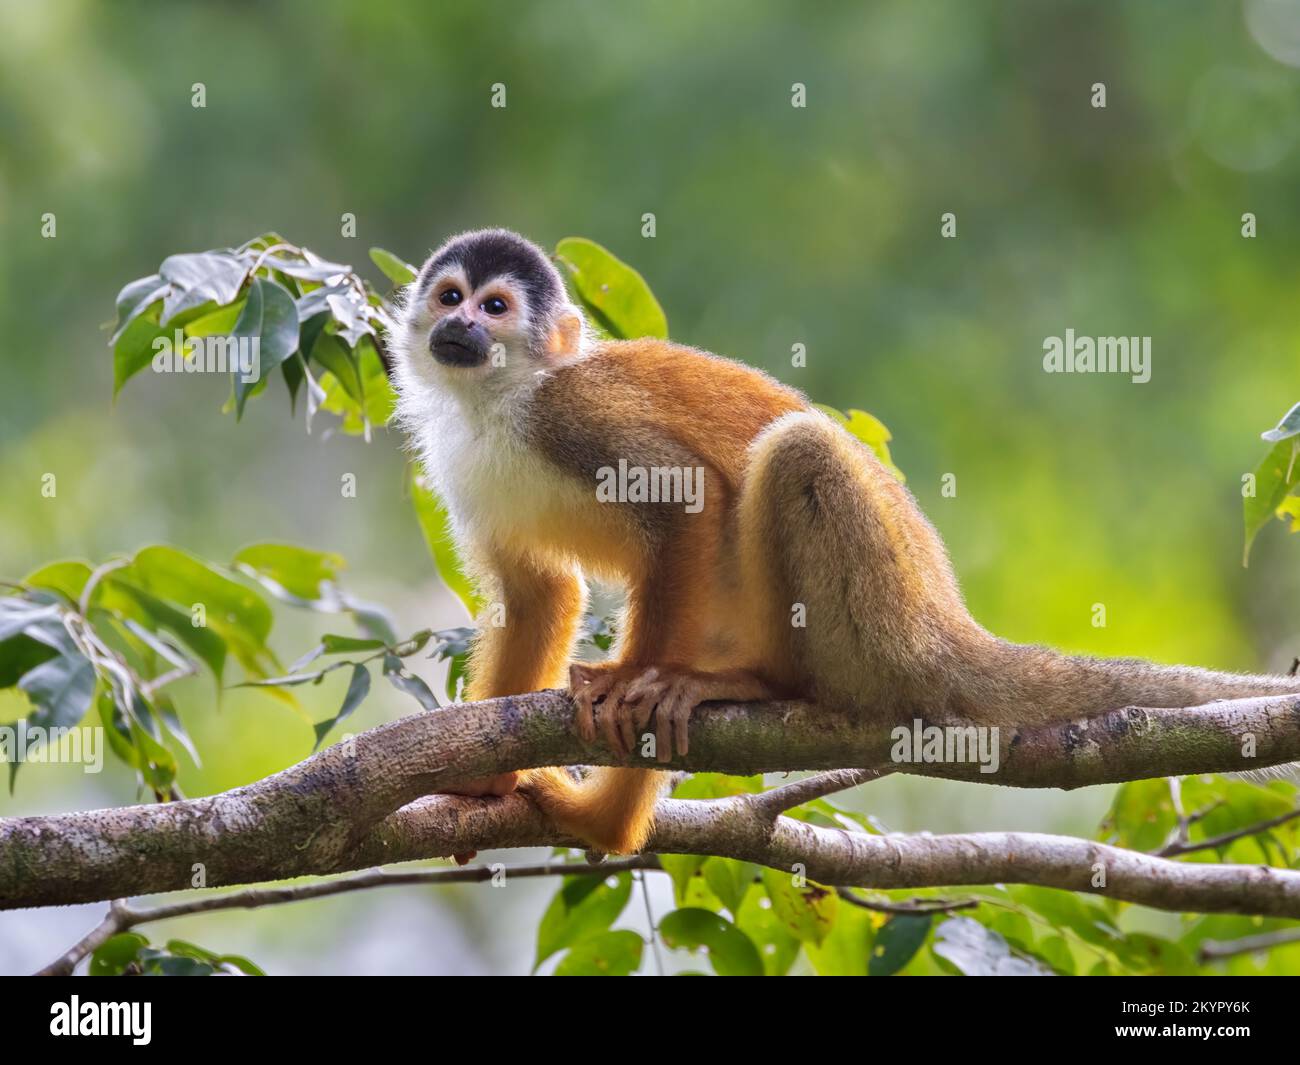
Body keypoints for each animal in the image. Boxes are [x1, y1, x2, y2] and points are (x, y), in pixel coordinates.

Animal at [390, 227, 1299, 856]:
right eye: (450, 296)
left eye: (495, 308)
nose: (459, 328)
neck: (500, 400)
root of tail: (945, 625)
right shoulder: (456, 469)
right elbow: (541, 593)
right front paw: (482, 782)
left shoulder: (571, 414)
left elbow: (687, 501)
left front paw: (632, 680)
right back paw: (609, 825)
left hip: (878, 630)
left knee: (798, 453)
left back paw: (748, 687)